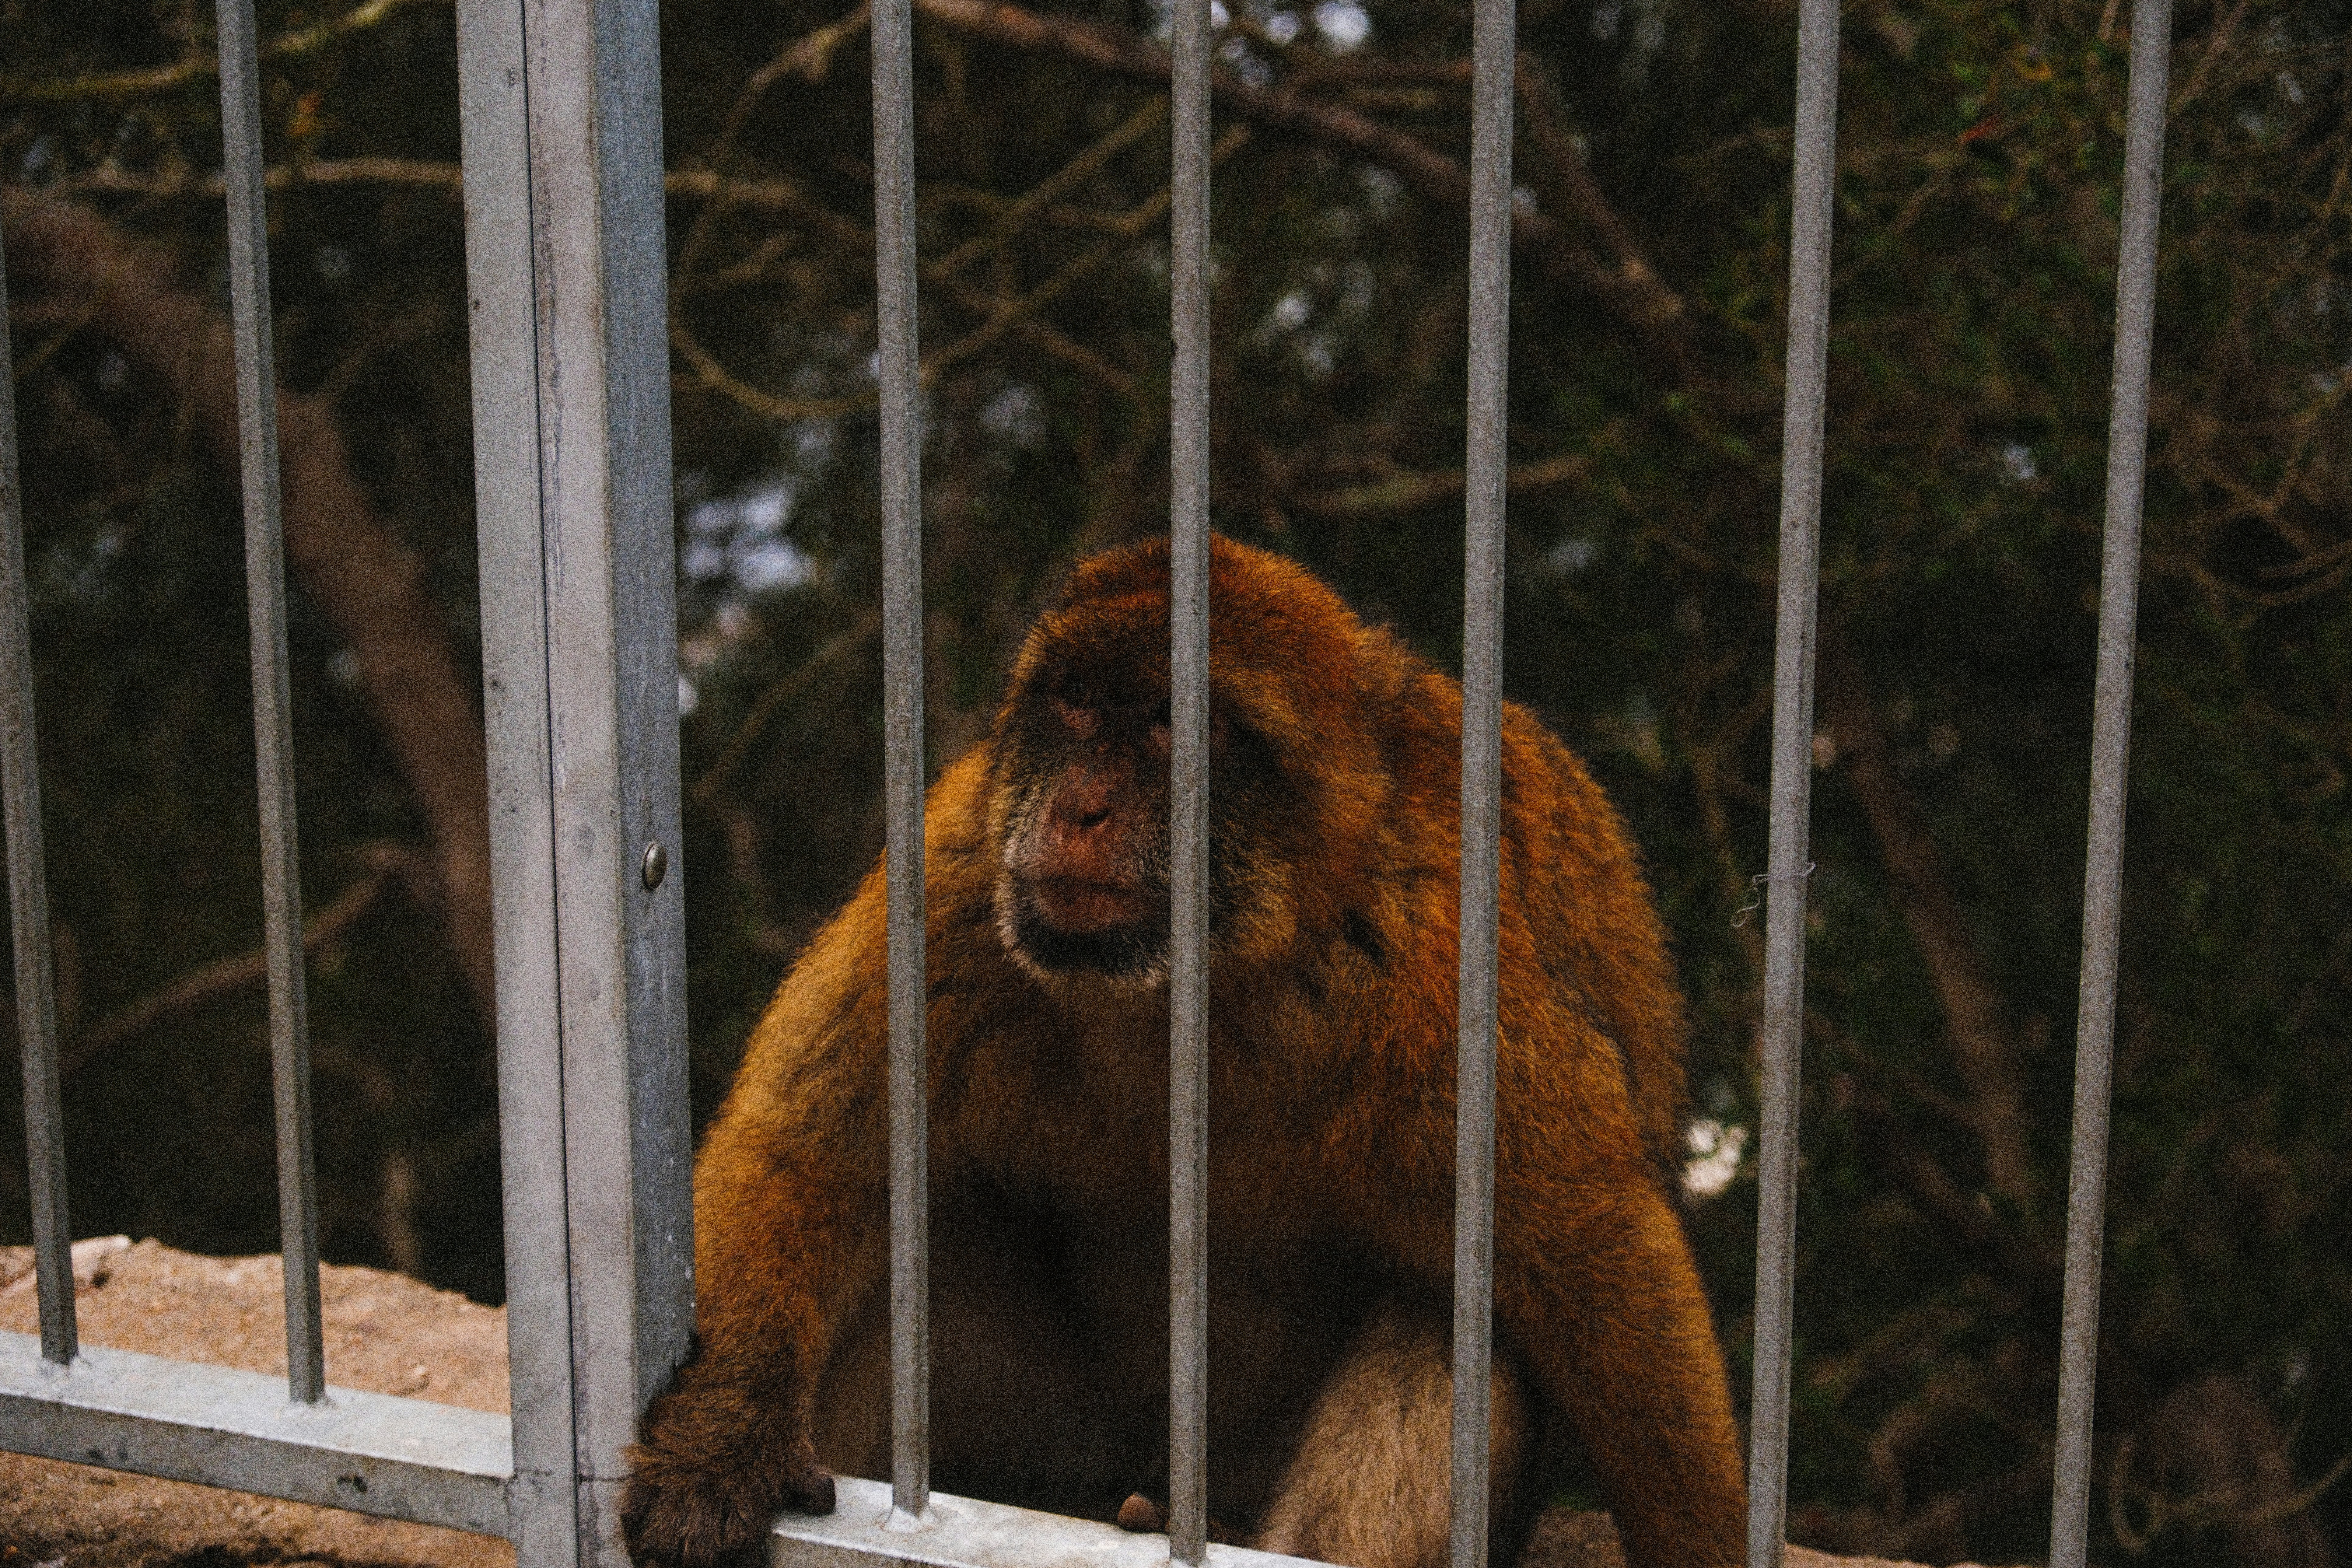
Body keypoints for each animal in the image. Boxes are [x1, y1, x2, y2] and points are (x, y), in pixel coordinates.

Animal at [621, 535, 1747, 1568]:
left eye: (1169, 721)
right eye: (1077, 699)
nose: (1079, 808)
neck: (1182, 983)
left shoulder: (1437, 971)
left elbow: (1594, 1257)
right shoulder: (956, 887)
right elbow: (814, 1153)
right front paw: (717, 1438)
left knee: (1460, 1316)